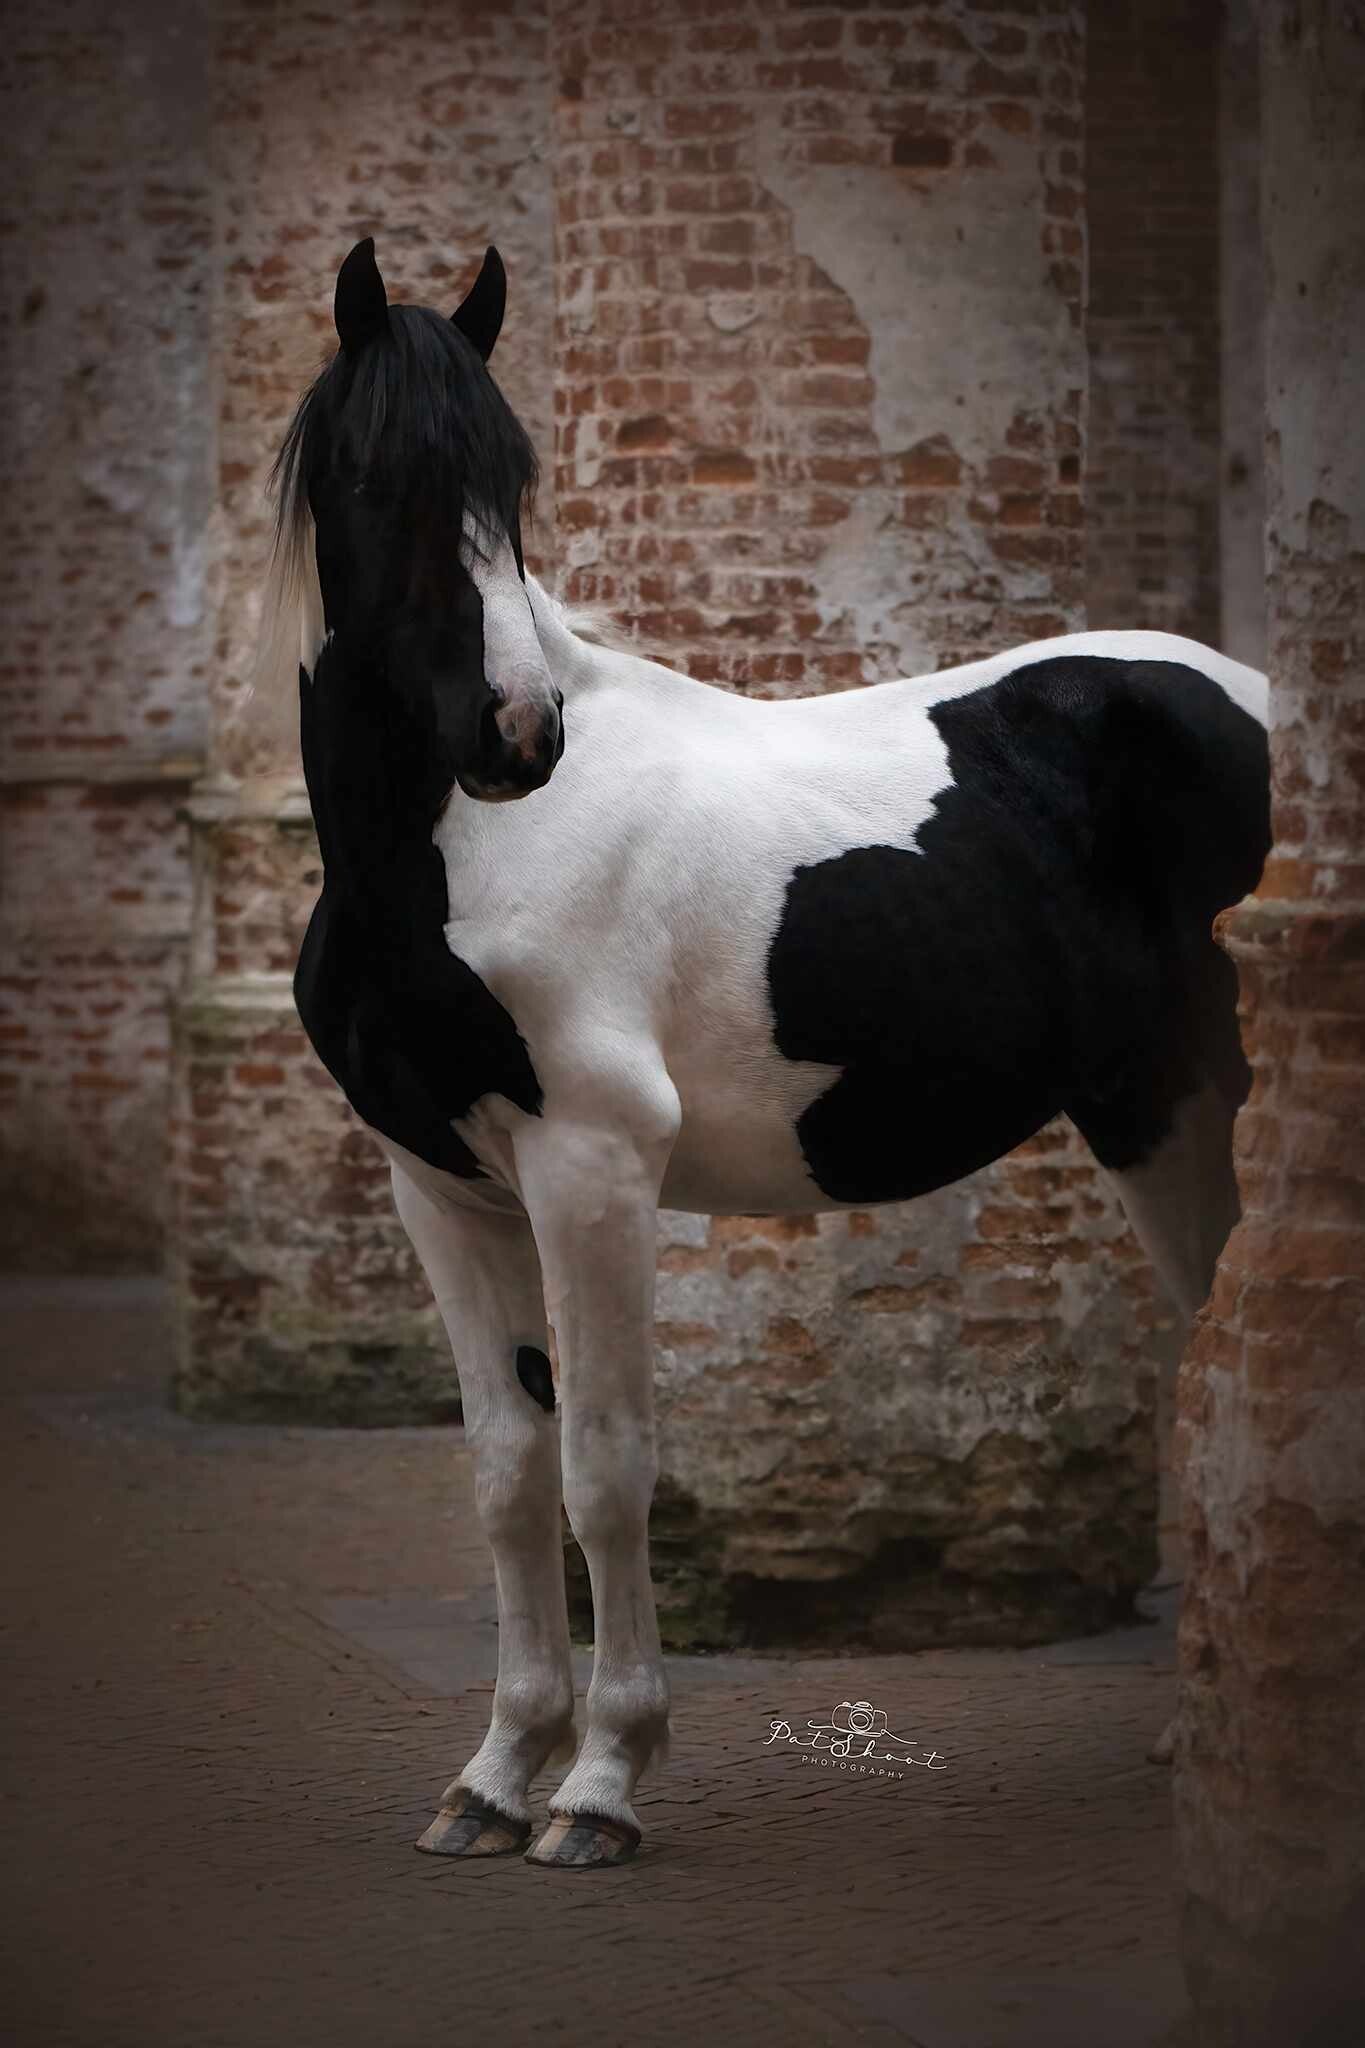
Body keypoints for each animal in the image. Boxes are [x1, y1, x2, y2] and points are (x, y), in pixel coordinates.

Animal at [254, 238, 1271, 1870]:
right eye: (374, 473)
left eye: (509, 481)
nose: (517, 731)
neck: (451, 849)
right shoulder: (443, 1187)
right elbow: (507, 1474)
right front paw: (496, 1775)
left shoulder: (592, 1169)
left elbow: (607, 1468)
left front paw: (602, 1784)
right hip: (1157, 1117)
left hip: (1192, 1115)